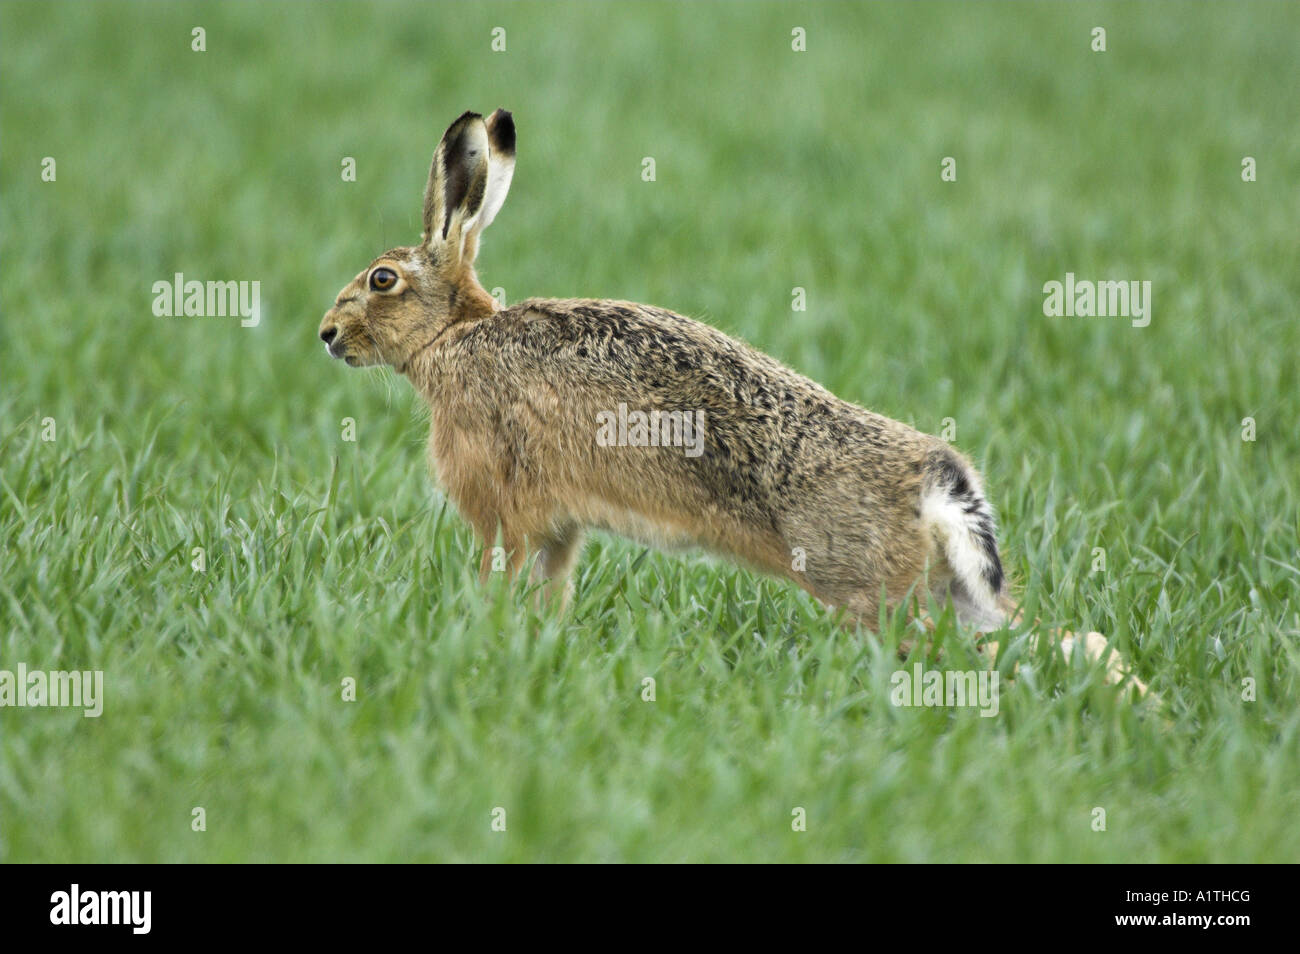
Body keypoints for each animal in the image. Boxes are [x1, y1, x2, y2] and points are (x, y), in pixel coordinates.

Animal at [318, 108, 1146, 693]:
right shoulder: (559, 528)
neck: (451, 337)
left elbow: (505, 579)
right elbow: (548, 594)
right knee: (1063, 642)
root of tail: (935, 481)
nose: (327, 335)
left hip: (872, 590)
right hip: (949, 591)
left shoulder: (507, 513)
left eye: (383, 280)